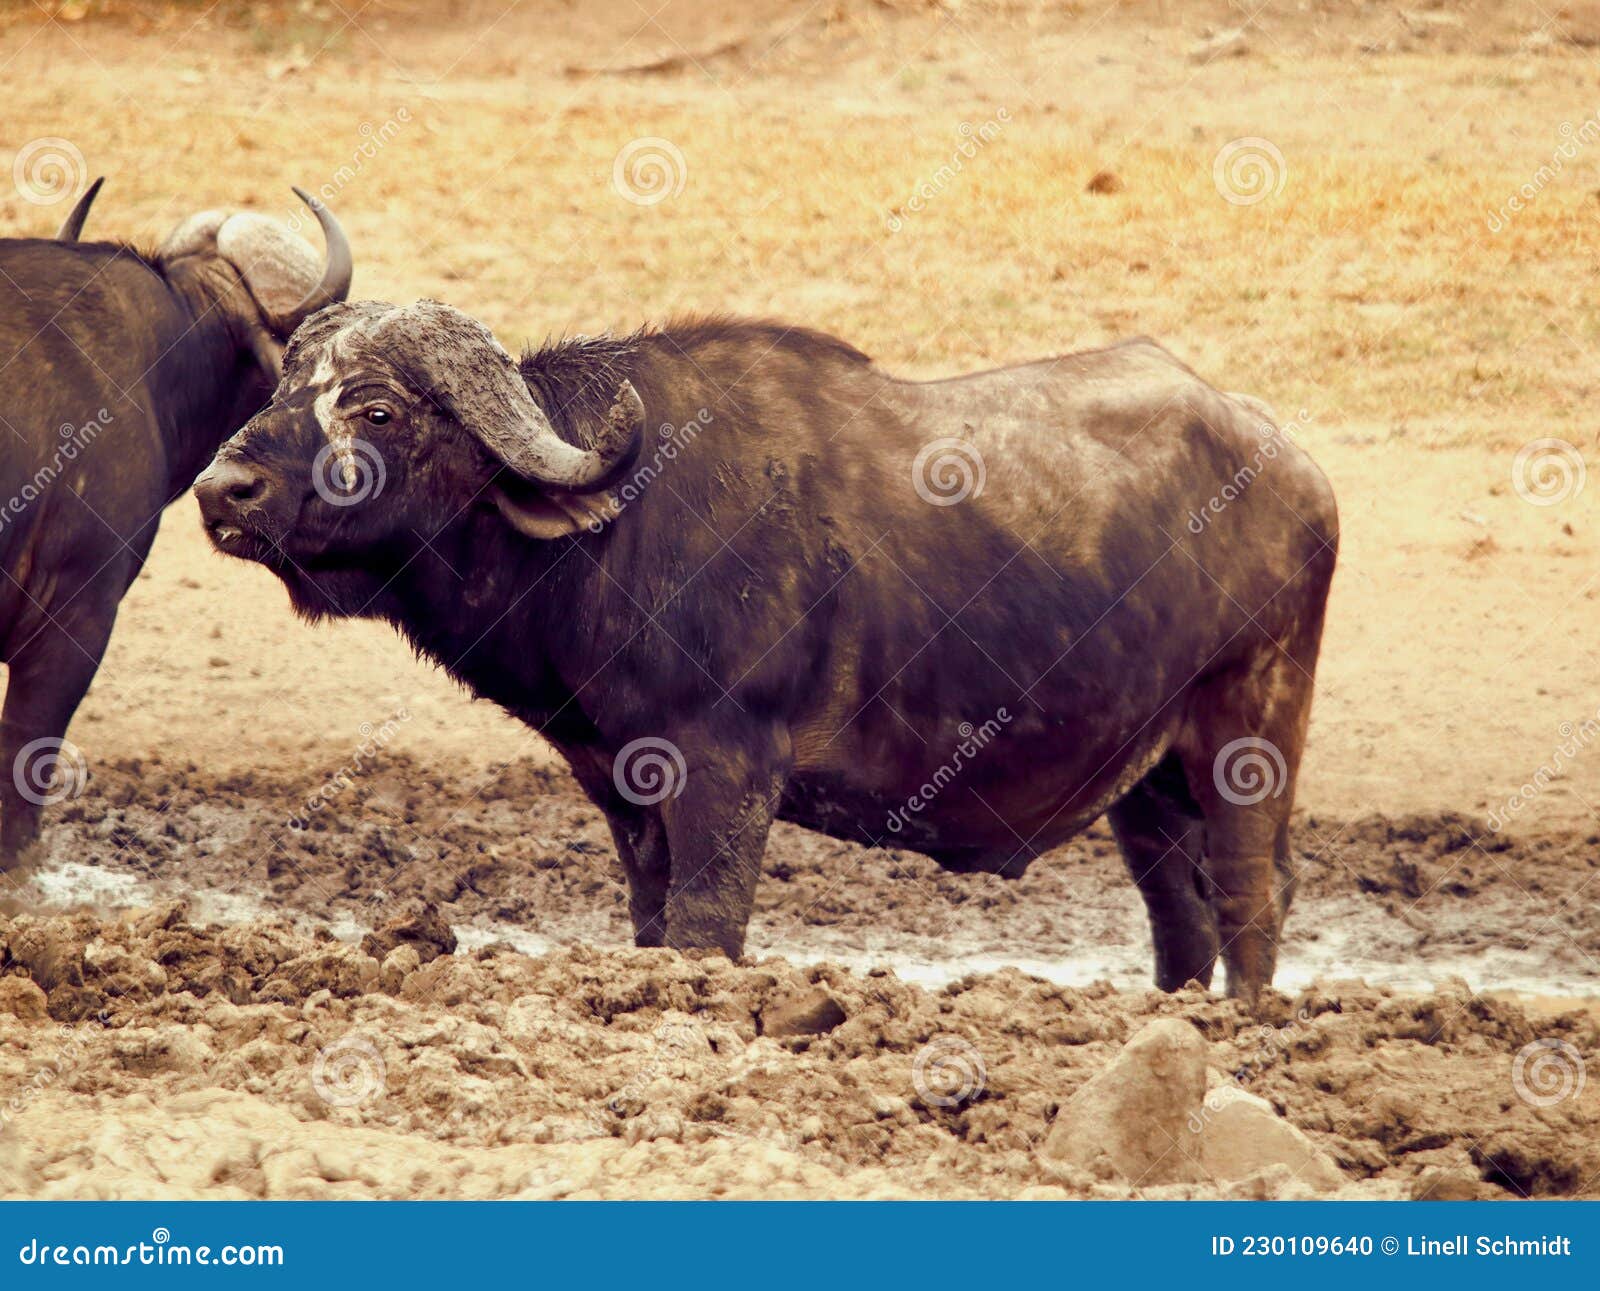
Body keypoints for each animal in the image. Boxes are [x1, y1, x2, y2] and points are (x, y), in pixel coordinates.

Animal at [195, 299, 1337, 1003]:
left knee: (1254, 893)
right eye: (280, 393)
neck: (618, 524)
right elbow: (656, 922)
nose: (222, 490)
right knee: (1182, 916)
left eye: (375, 408)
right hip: (1147, 780)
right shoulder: (625, 787)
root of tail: (1290, 465)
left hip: (1250, 733)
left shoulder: (727, 770)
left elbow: (708, 924)